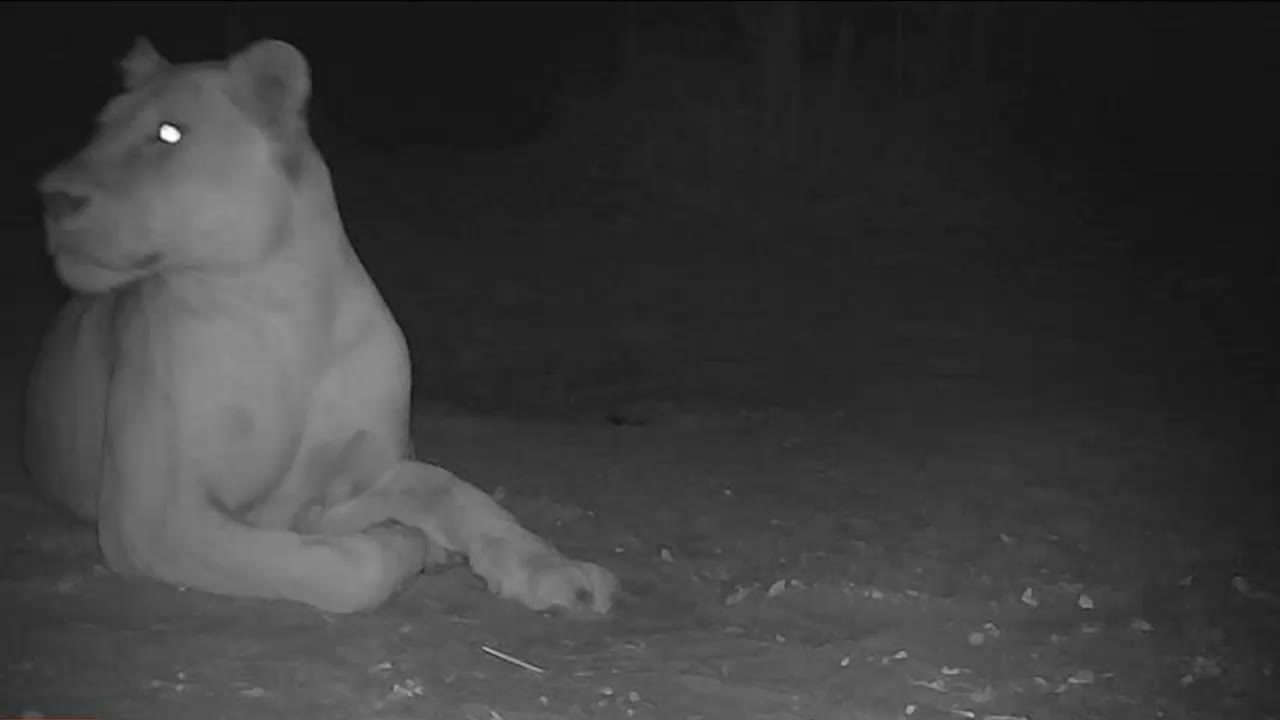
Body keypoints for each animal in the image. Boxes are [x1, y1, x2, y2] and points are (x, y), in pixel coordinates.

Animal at [24, 38, 618, 615]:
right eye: (100, 126)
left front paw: (558, 573)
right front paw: (407, 544)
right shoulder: (156, 520)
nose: (51, 196)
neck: (286, 308)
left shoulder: (359, 471)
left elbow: (452, 490)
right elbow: (348, 565)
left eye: (169, 133)